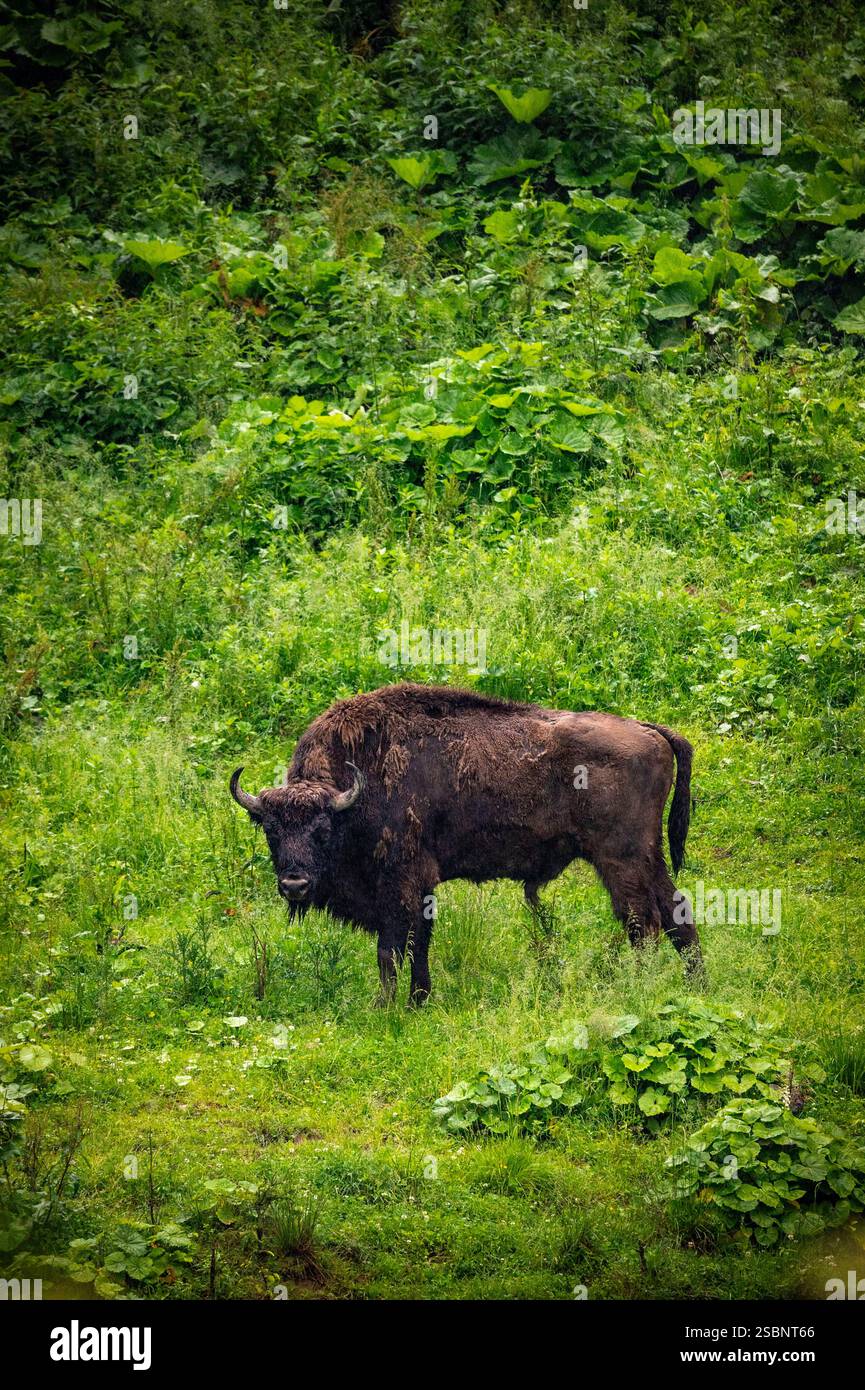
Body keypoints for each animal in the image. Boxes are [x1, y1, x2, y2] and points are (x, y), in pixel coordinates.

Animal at [230, 682, 703, 1005]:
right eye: (270, 829)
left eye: (322, 830)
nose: (294, 886)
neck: (355, 790)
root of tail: (648, 729)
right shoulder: (421, 886)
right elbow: (419, 942)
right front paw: (419, 1001)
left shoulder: (400, 881)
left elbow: (390, 948)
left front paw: (385, 1008)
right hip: (648, 857)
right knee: (675, 914)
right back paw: (693, 983)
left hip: (620, 858)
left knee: (642, 922)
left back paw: (637, 987)